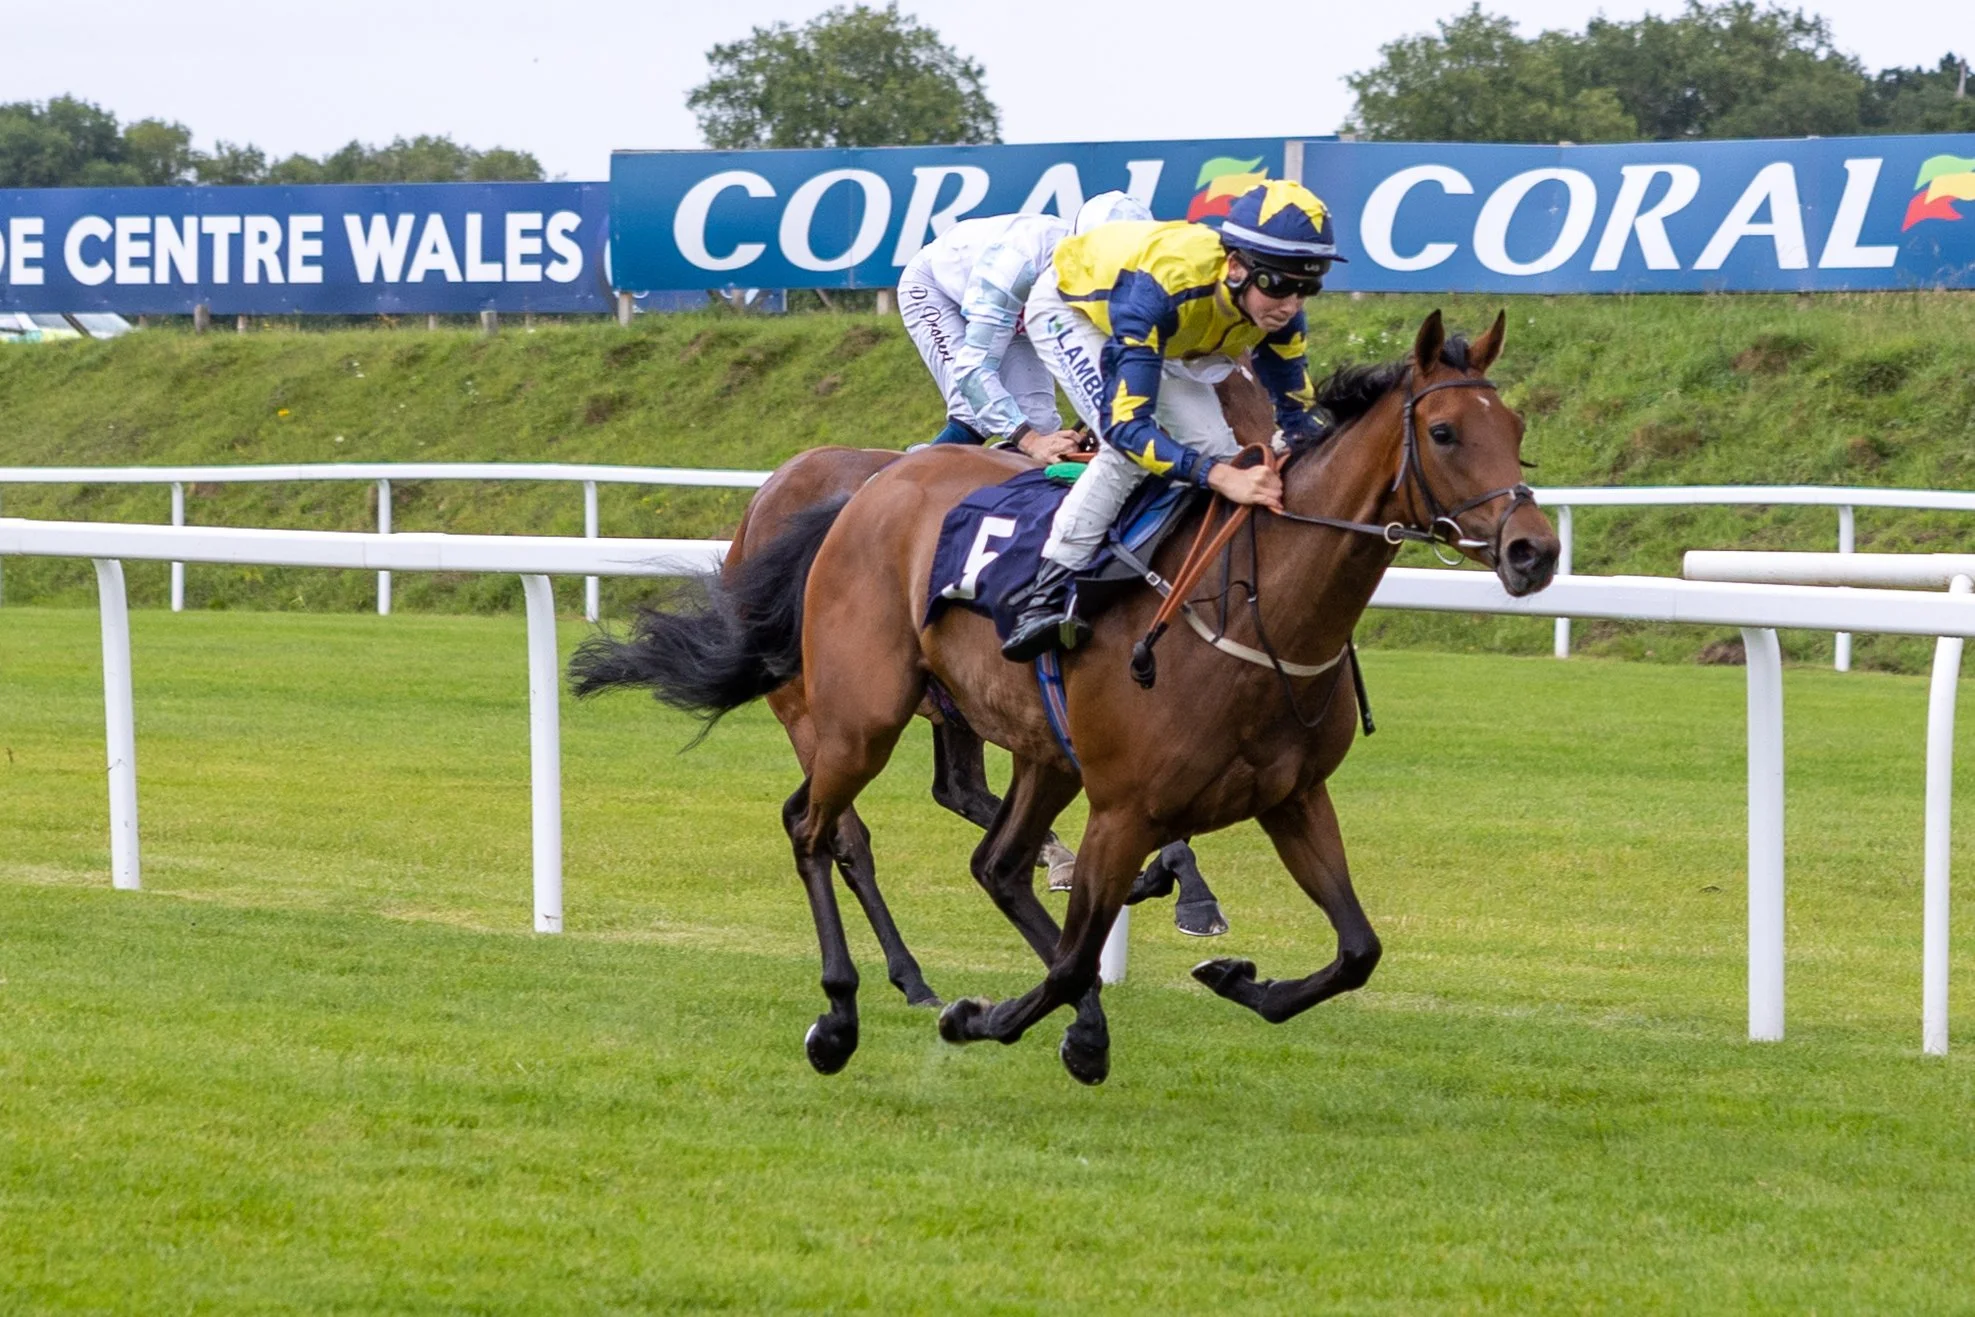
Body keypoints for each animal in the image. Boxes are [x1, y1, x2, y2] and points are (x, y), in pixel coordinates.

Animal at [581, 310, 1558, 1084]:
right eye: (1443, 432)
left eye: (1514, 426)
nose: (1533, 550)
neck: (1254, 604)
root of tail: (848, 494)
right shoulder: (1125, 805)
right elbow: (1069, 958)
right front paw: (981, 1016)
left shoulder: (1291, 795)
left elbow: (1356, 948)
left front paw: (1236, 977)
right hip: (855, 717)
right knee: (824, 831)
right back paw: (850, 1008)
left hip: (1032, 745)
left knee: (991, 859)